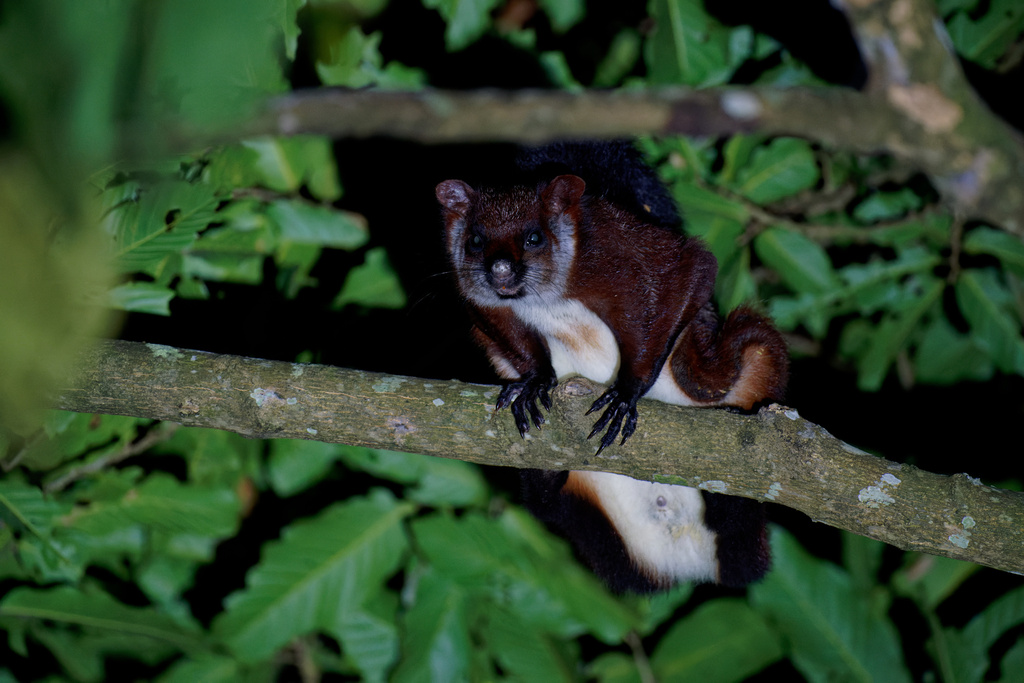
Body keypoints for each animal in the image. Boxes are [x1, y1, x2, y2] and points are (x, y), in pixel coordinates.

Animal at [436, 141, 788, 592]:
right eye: (476, 241)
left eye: (534, 237)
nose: (499, 270)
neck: (542, 296)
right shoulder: (481, 301)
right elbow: (508, 336)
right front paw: (534, 380)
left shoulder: (617, 247)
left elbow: (691, 269)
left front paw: (626, 393)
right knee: (548, 505)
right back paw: (545, 474)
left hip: (743, 360)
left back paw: (726, 496)